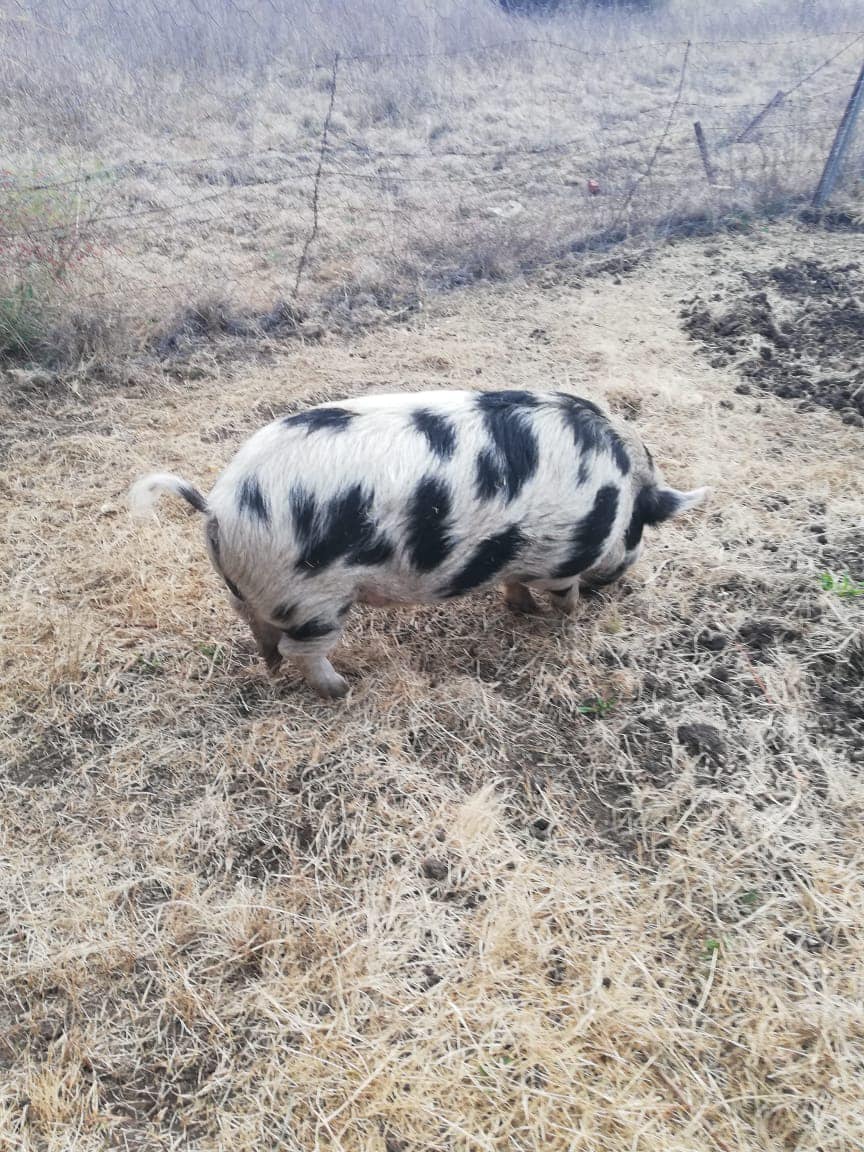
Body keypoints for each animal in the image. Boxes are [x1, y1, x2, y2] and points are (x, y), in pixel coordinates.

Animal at [130, 389, 707, 698]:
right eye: (642, 528)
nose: (617, 583)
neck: (621, 491)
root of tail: (218, 506)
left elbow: (515, 583)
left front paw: (521, 610)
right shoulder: (565, 556)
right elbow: (562, 593)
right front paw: (569, 616)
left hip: (251, 594)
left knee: (263, 636)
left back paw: (272, 668)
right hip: (313, 598)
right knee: (302, 649)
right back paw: (342, 690)